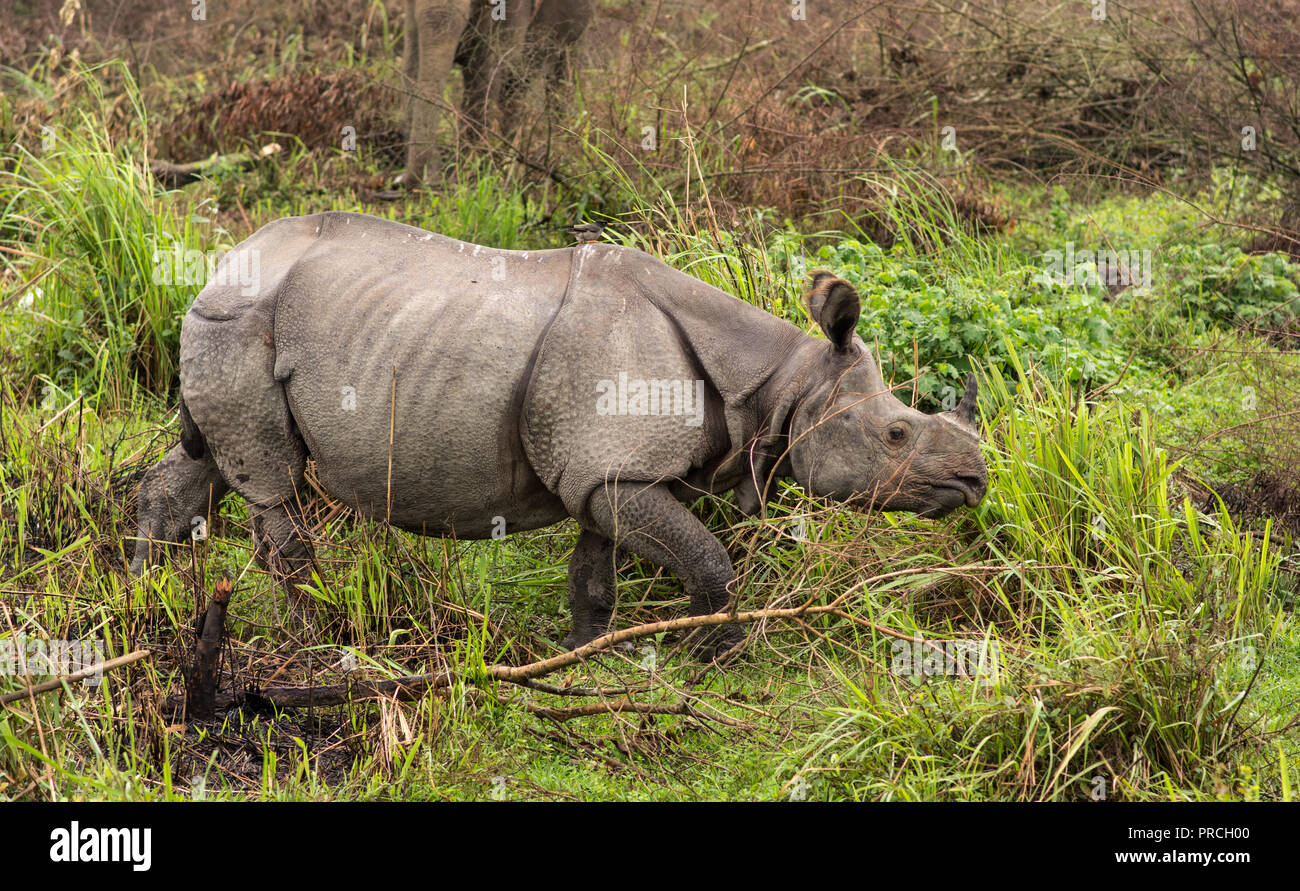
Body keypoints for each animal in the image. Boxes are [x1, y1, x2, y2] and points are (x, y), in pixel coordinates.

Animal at [130, 211, 987, 656]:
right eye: (898, 433)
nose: (976, 479)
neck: (781, 383)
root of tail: (222, 262)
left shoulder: (607, 474)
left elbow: (595, 576)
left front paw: (582, 656)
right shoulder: (617, 468)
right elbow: (710, 561)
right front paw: (713, 655)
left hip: (233, 322)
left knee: (206, 464)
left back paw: (141, 591)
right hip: (243, 321)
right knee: (272, 484)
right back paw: (324, 634)